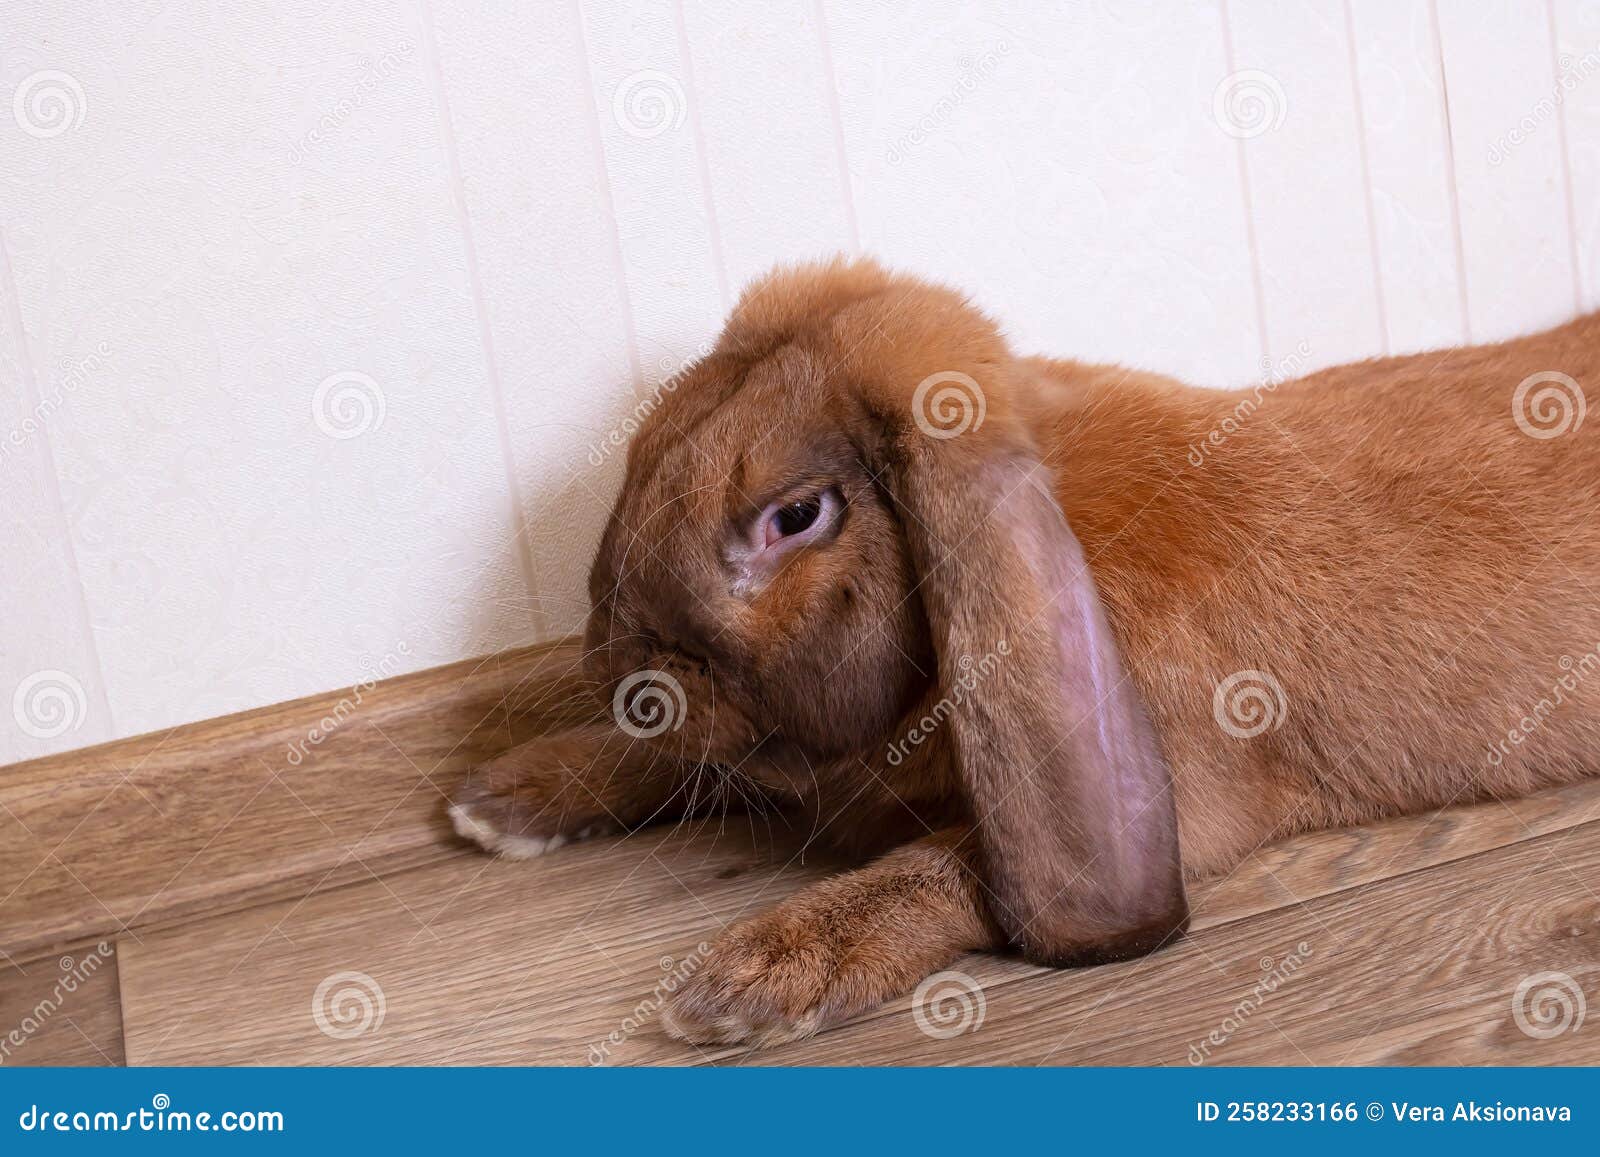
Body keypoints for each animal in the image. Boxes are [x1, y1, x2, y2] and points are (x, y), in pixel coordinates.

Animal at [449, 257, 1600, 1048]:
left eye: (795, 516)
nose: (612, 668)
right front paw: (497, 800)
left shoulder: (1183, 804)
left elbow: (931, 870)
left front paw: (743, 982)